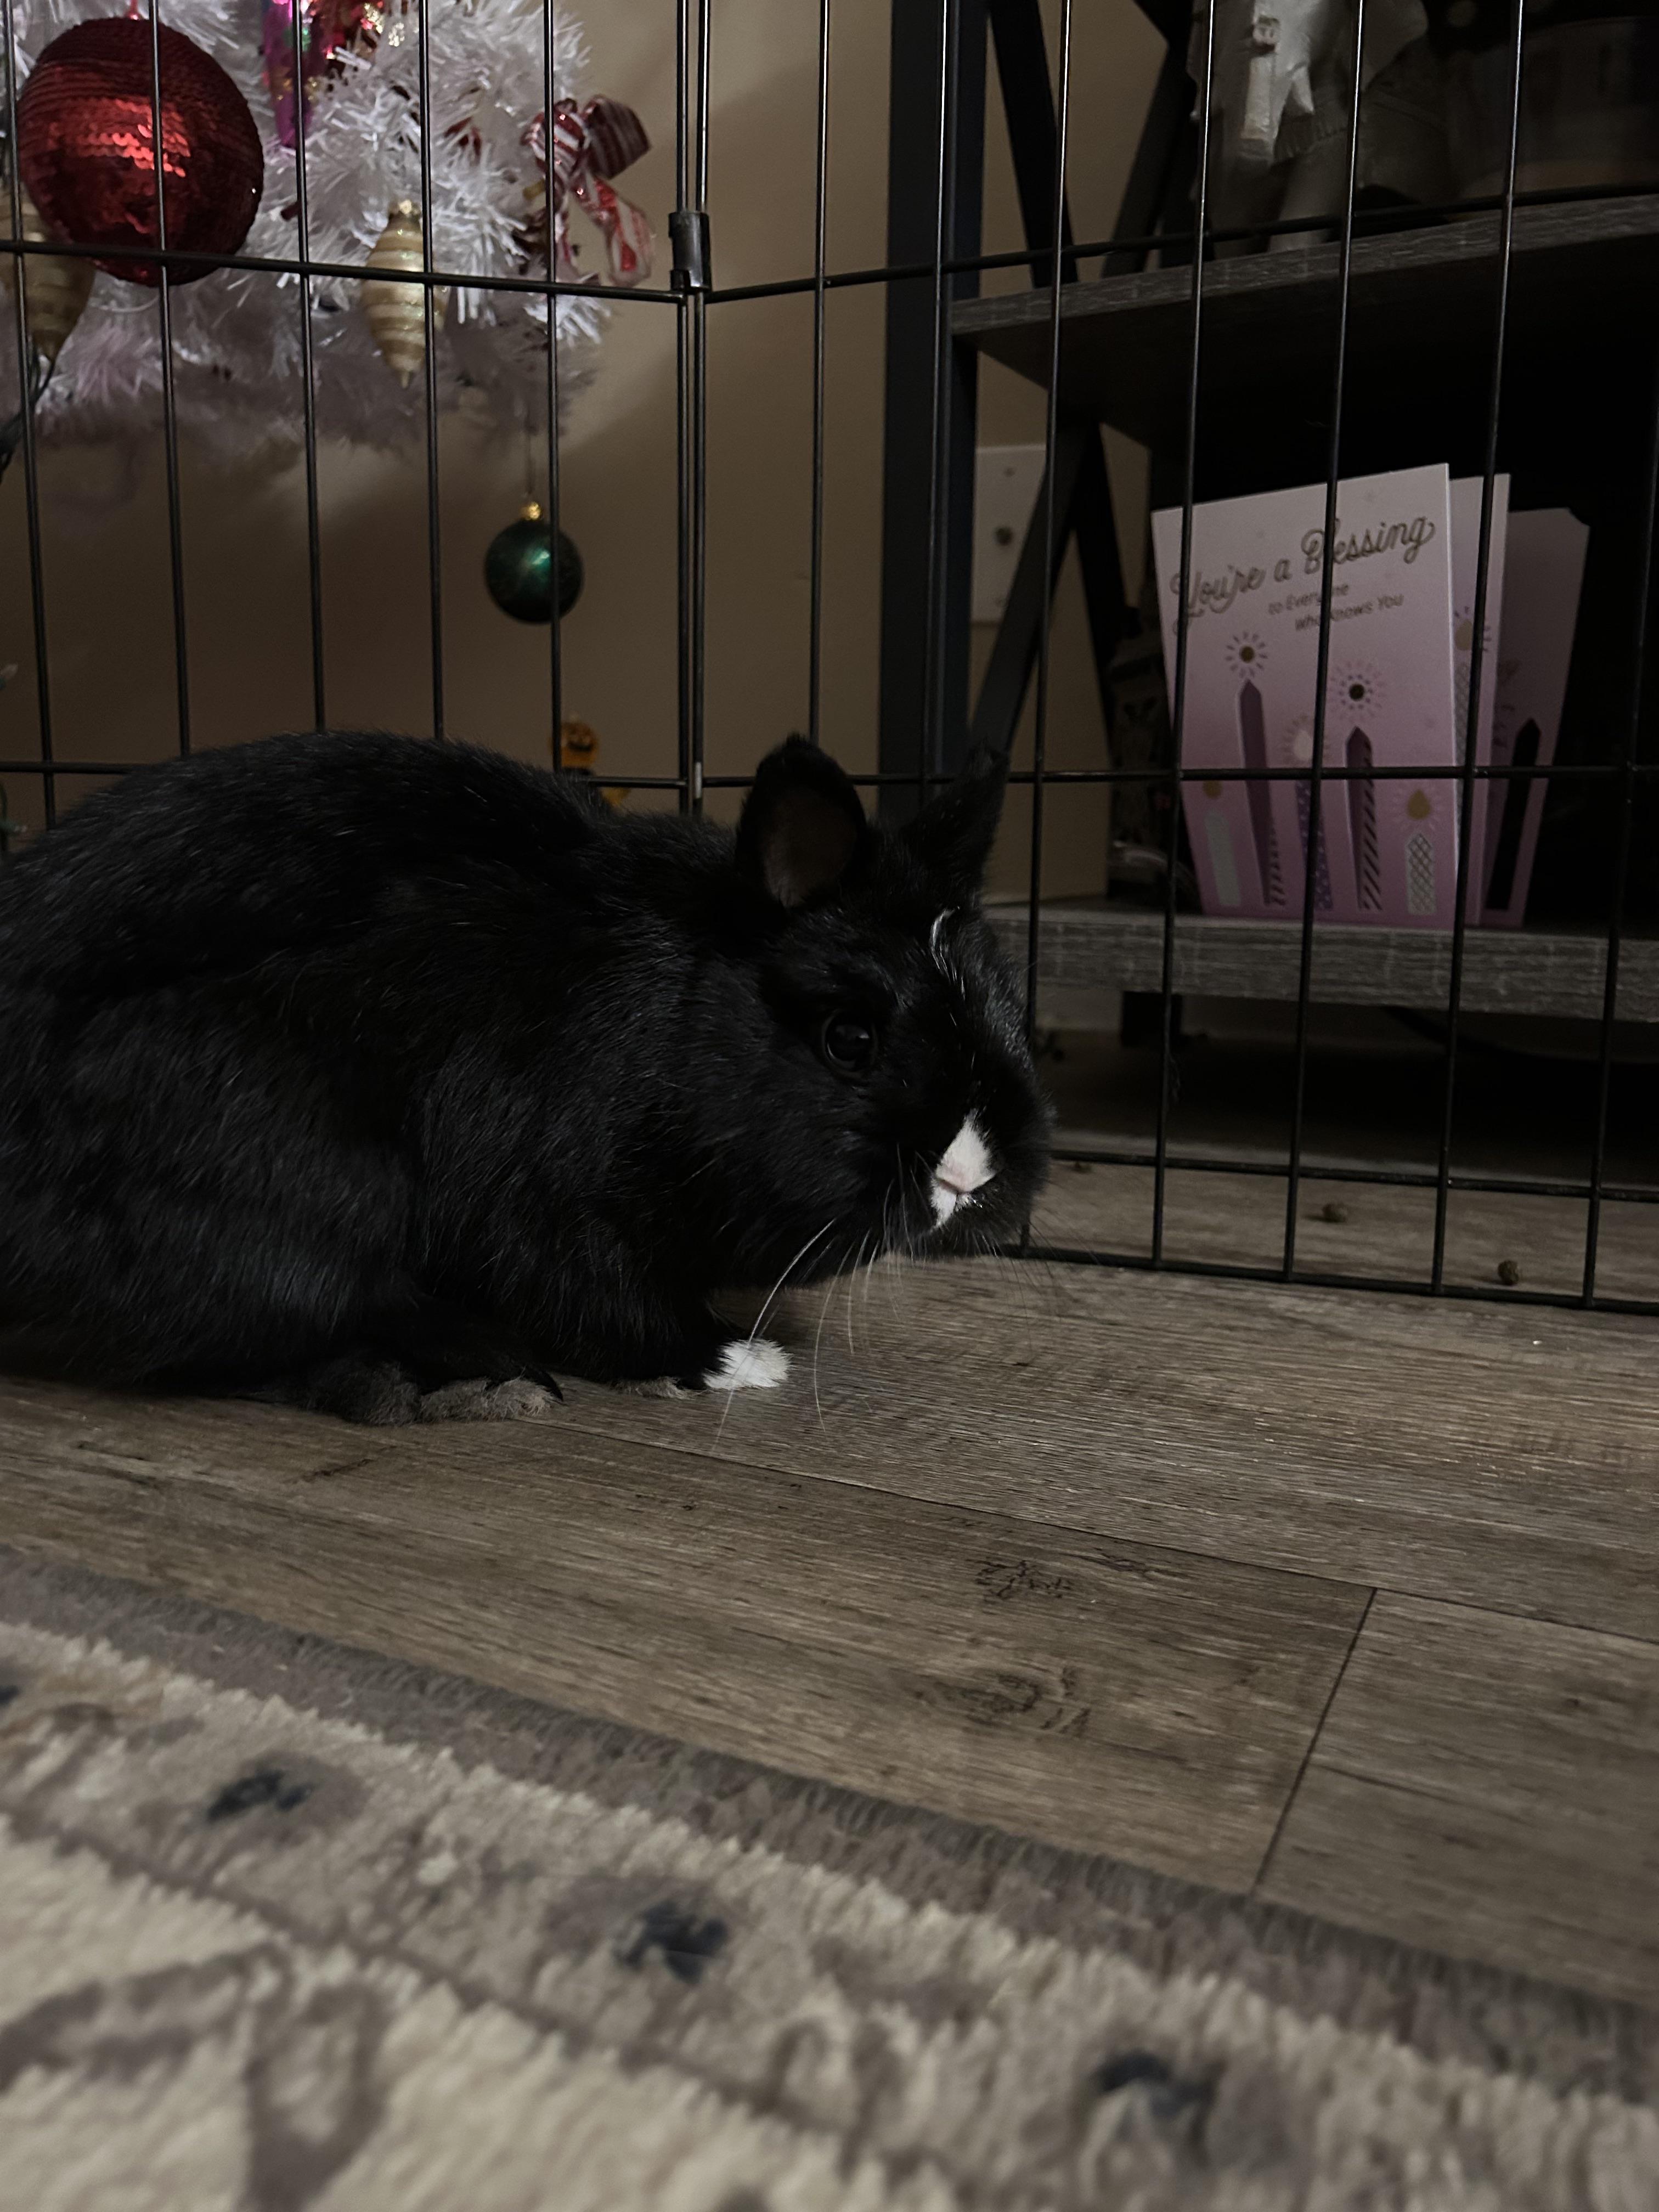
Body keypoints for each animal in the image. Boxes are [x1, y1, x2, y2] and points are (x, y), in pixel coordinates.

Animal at [0, 729, 1051, 1423]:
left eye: (1007, 1002)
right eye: (849, 1038)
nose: (970, 1174)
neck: (677, 1016)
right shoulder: (542, 1189)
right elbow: (596, 1296)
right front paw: (735, 1361)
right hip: (296, 1180)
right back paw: (456, 1383)